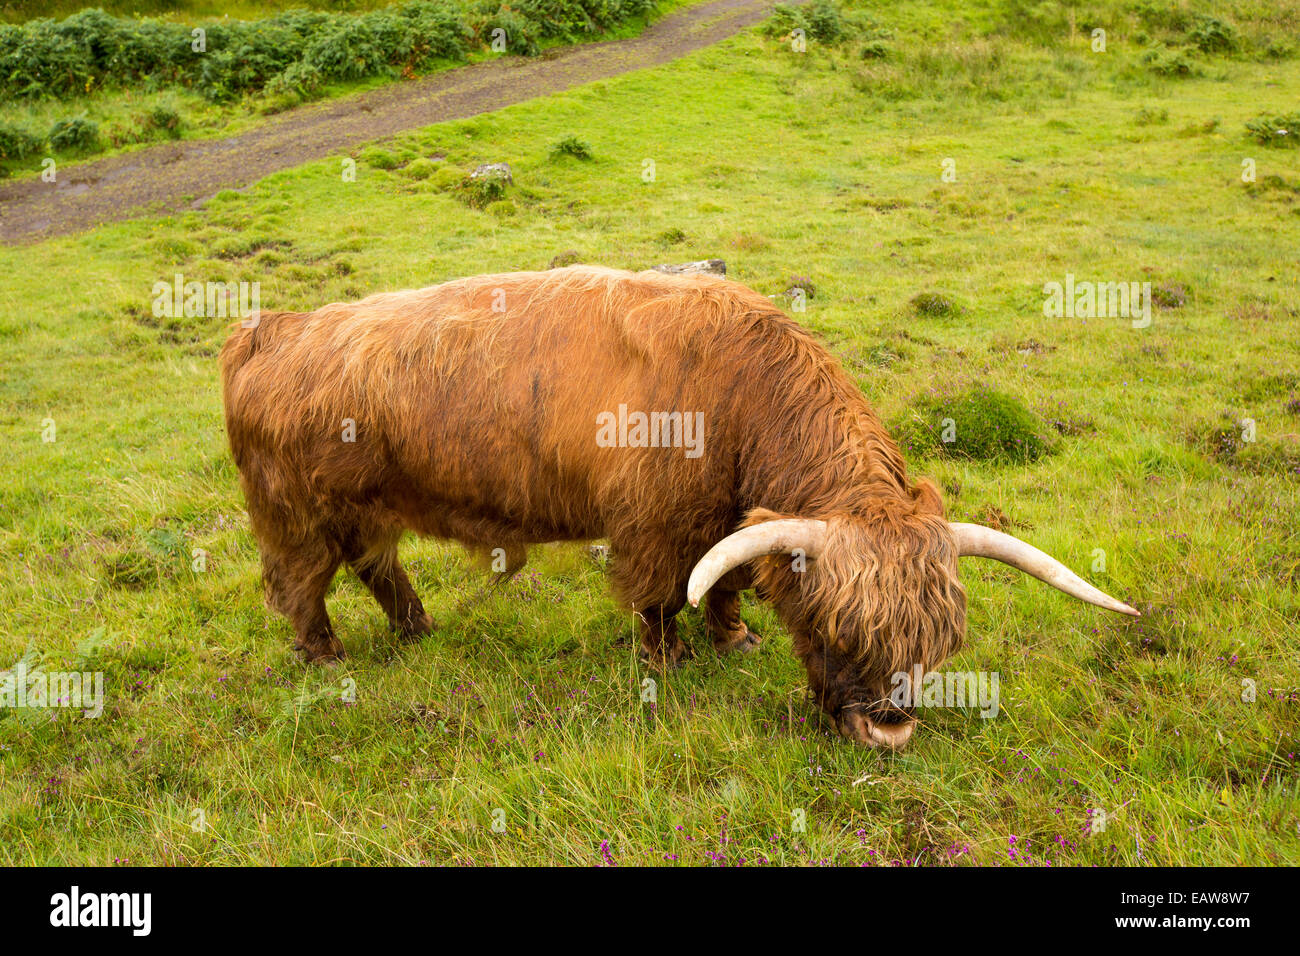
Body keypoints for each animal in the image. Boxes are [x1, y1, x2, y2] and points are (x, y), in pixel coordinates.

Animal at [220, 265, 1137, 749]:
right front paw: (667, 661)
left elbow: (724, 582)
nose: (888, 732)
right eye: (838, 629)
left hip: (365, 511)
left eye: (936, 644)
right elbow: (662, 596)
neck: (739, 396)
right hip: (298, 517)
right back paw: (328, 660)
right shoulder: (658, 527)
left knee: (378, 568)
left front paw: (733, 638)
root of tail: (273, 328)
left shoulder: (725, 523)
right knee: (304, 589)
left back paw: (418, 631)